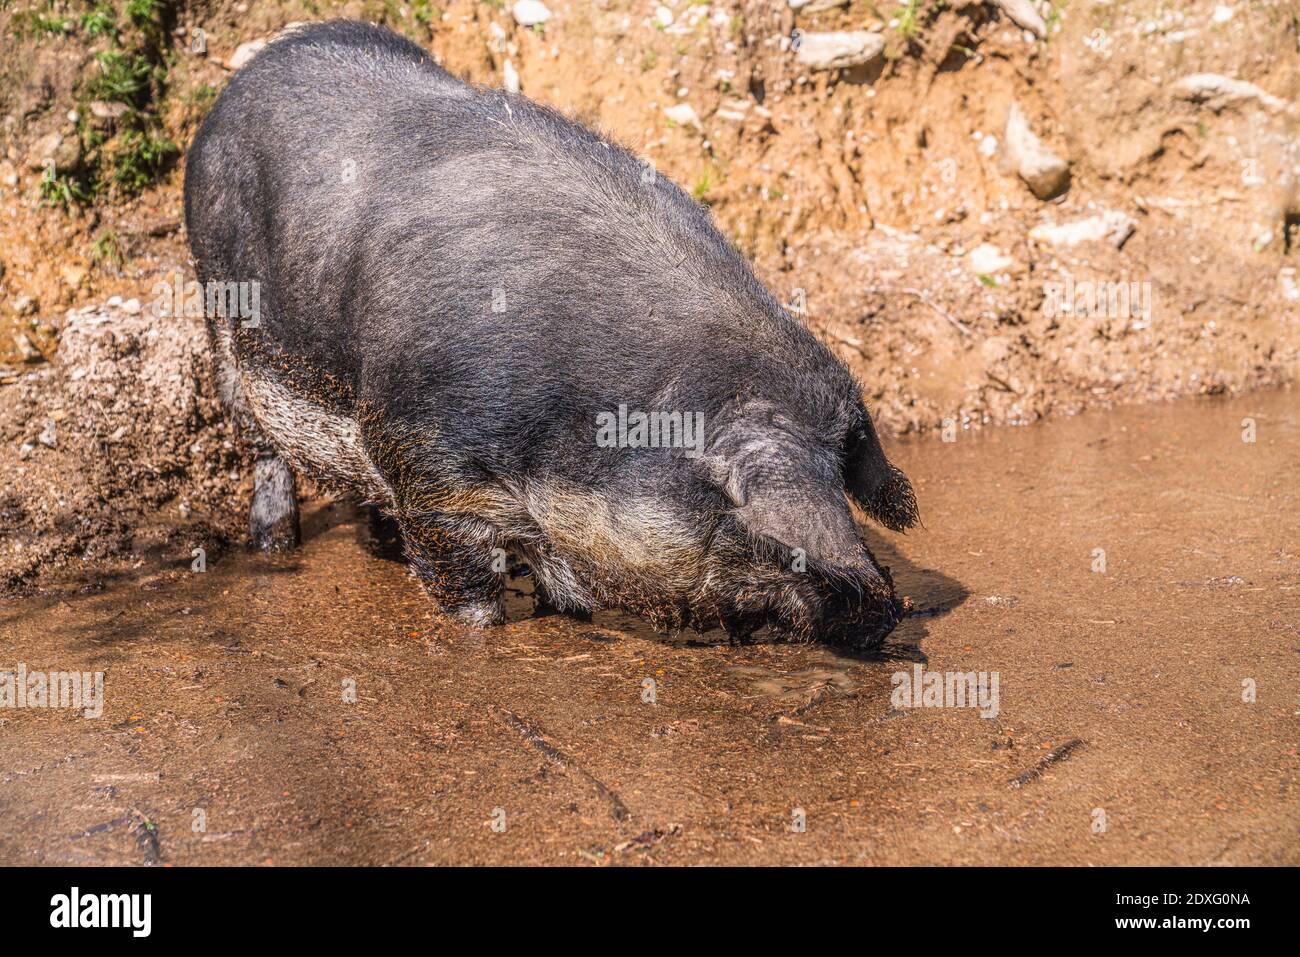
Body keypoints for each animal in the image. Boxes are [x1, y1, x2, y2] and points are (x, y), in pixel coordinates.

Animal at [183, 20, 919, 648]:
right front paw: (487, 632)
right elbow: (467, 585)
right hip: (221, 314)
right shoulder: (425, 458)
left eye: (840, 480)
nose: (886, 608)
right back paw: (275, 546)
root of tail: (253, 69)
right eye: (759, 530)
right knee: (261, 445)